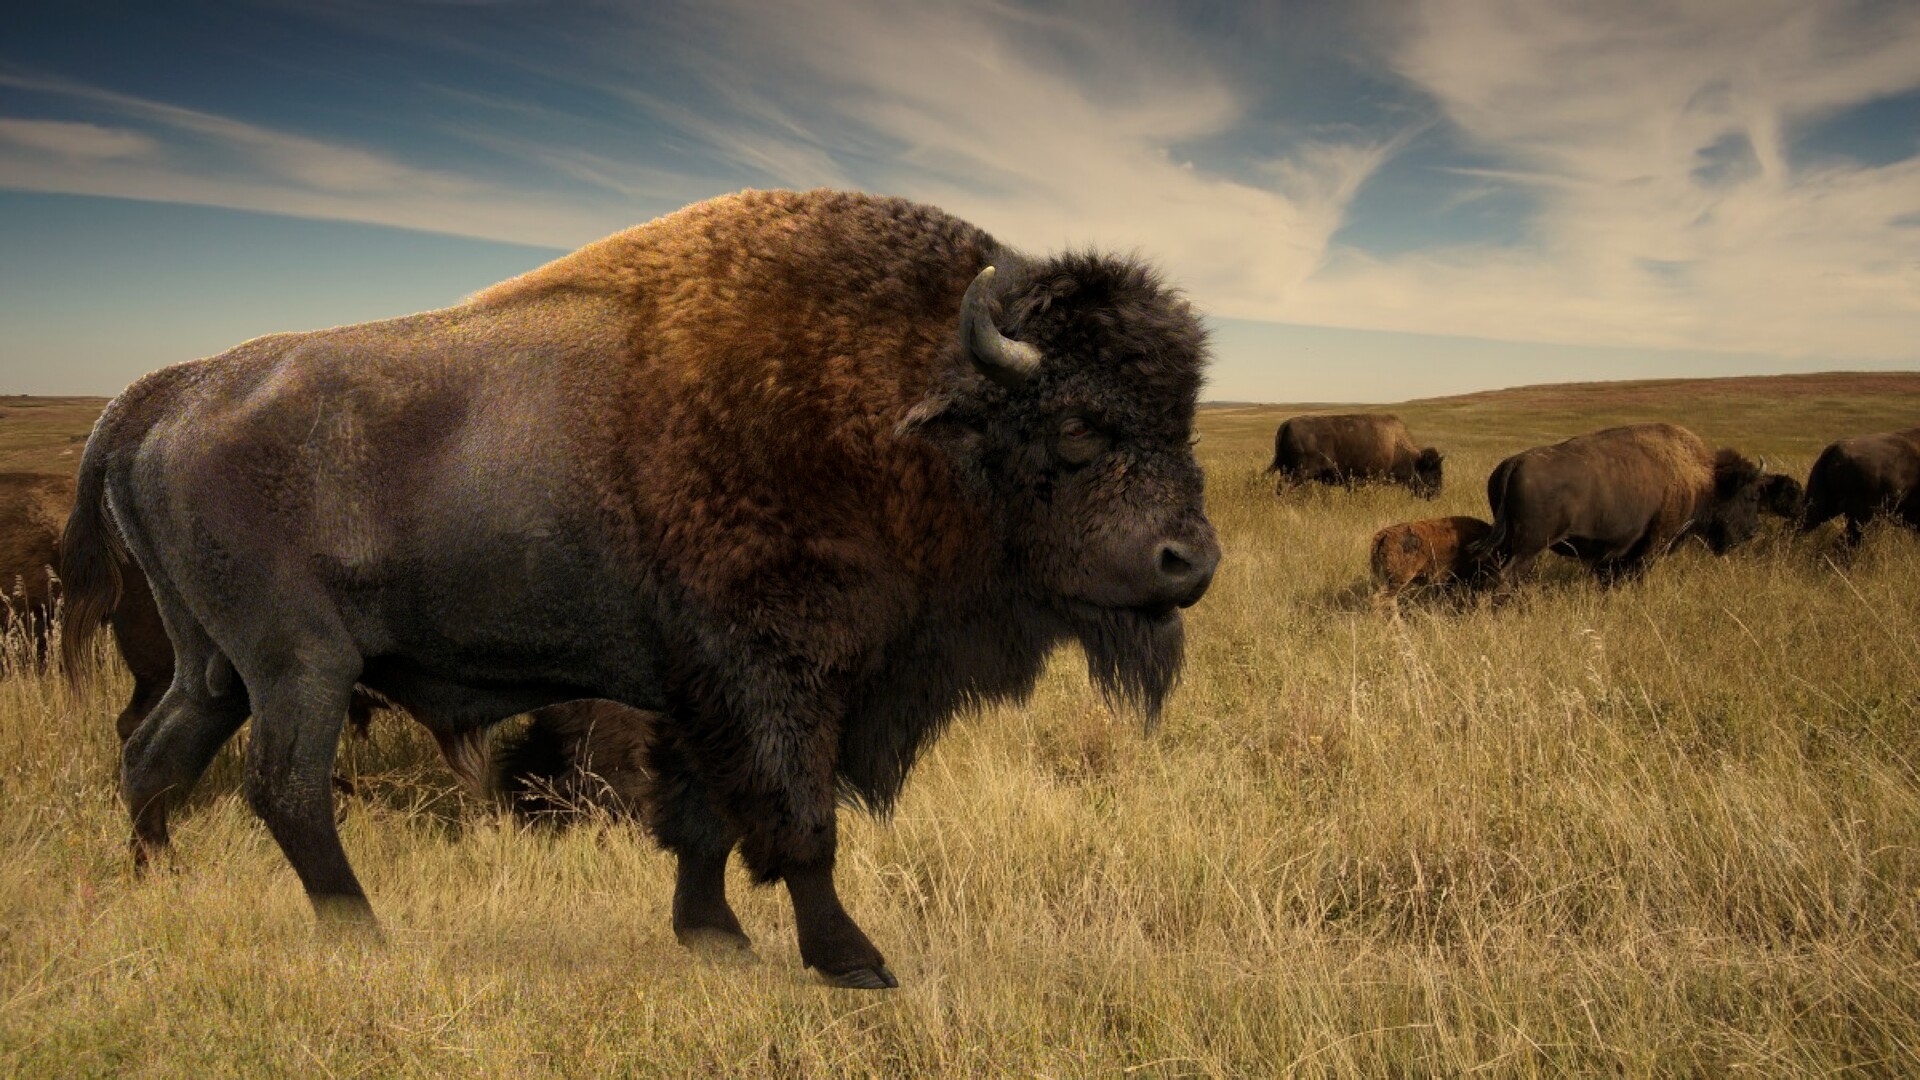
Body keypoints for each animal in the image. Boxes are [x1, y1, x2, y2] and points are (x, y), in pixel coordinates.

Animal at [62, 189, 1218, 990]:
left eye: (1183, 415)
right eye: (1077, 427)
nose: (1190, 562)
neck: (892, 408)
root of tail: (167, 392)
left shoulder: (698, 694)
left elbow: (701, 820)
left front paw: (715, 942)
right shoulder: (774, 680)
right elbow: (798, 824)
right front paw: (855, 962)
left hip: (216, 666)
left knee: (156, 754)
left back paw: (157, 882)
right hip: (298, 665)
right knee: (283, 787)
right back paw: (365, 932)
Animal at [1269, 413, 1442, 498]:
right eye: (1433, 473)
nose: (1437, 494)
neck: (1395, 445)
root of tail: (1286, 424)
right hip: (1298, 473)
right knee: (1283, 488)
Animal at [1475, 422, 1794, 588]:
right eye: (1750, 496)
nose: (1753, 531)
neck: (1701, 479)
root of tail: (1515, 463)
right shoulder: (1653, 544)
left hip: (1507, 544)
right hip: (1529, 547)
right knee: (1506, 577)